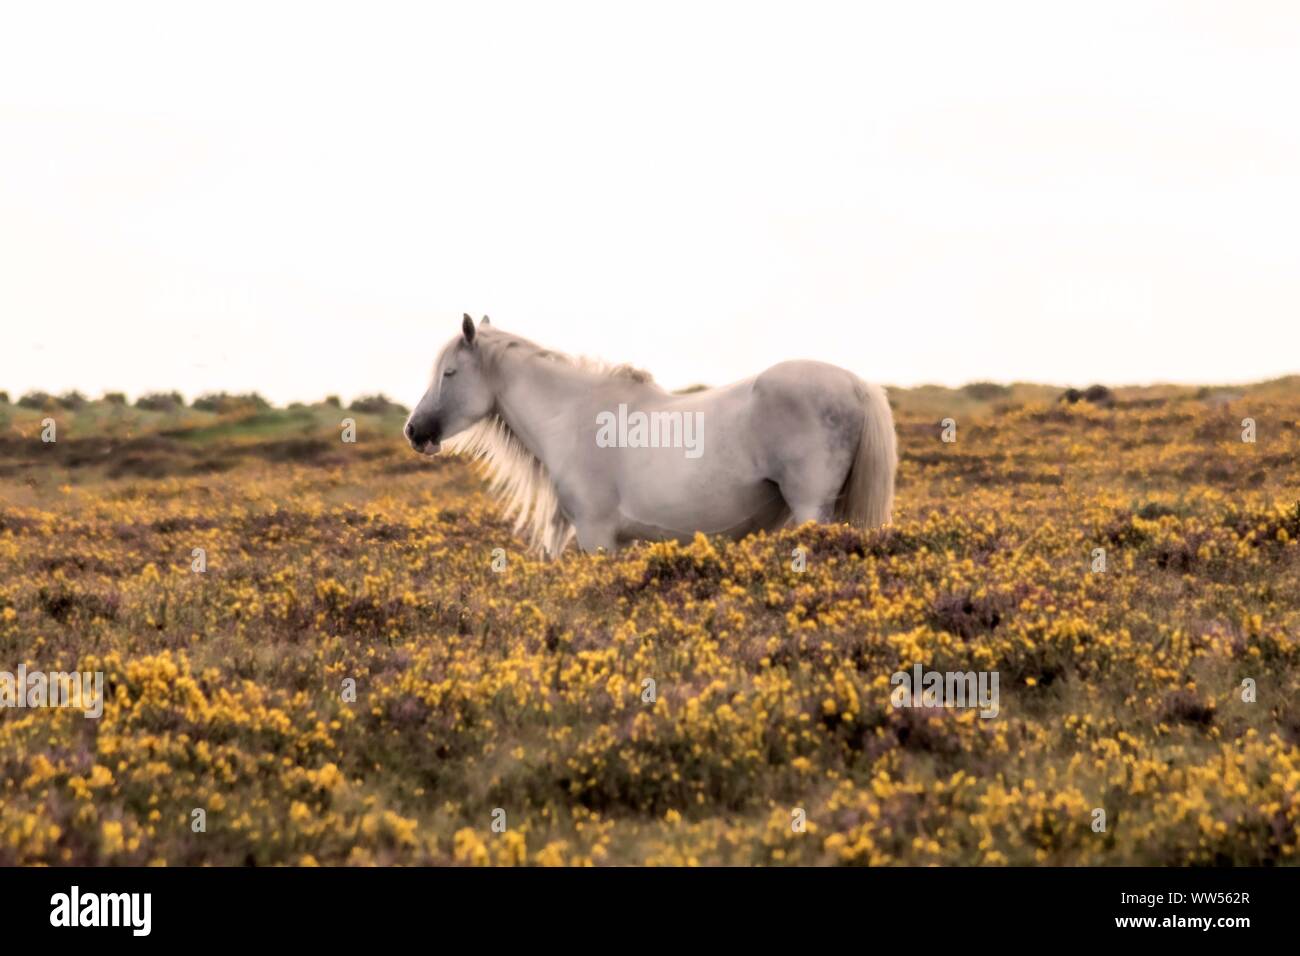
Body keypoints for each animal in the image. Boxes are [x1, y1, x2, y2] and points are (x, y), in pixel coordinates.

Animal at [404, 315, 896, 556]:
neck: (572, 415)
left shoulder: (596, 535)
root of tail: (857, 383)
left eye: (449, 372)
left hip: (811, 508)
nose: (414, 430)